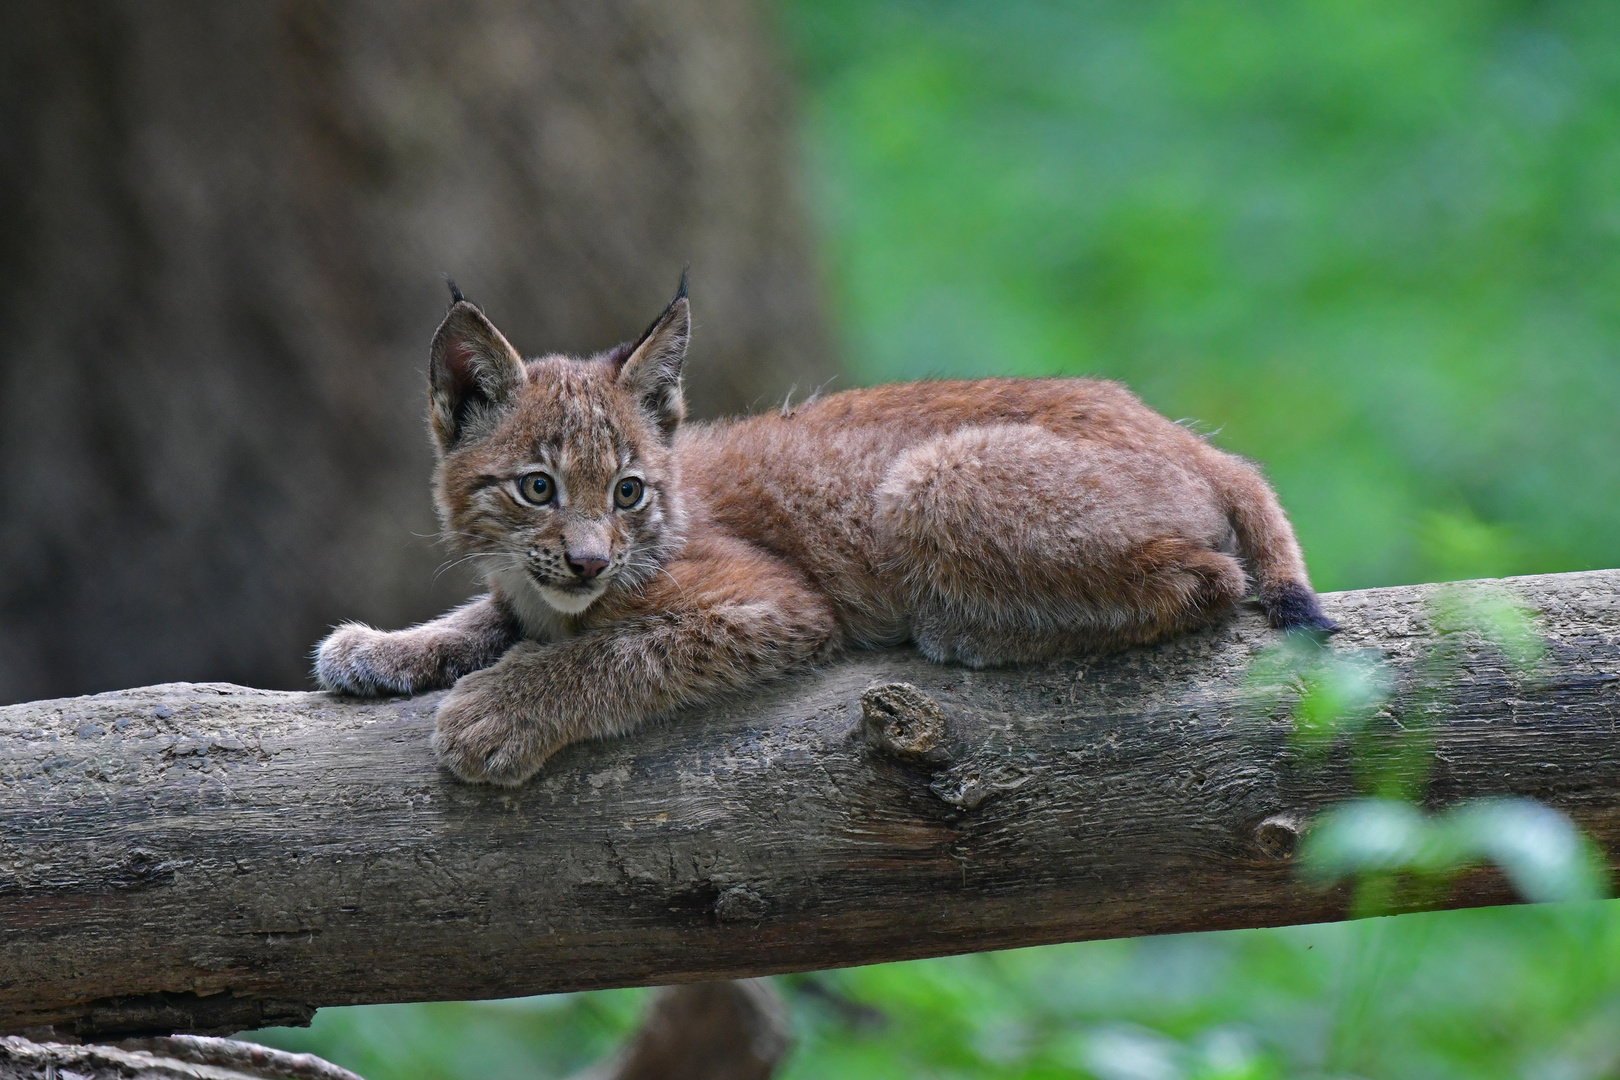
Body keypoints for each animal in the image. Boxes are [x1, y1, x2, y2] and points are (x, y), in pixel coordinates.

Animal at [315, 278, 1328, 786]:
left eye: (630, 492)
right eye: (539, 488)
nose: (592, 558)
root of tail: (1188, 438)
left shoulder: (779, 602)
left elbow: (615, 652)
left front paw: (499, 713)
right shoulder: (529, 582)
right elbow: (489, 612)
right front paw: (384, 647)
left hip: (926, 474)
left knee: (1214, 580)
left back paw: (974, 629)